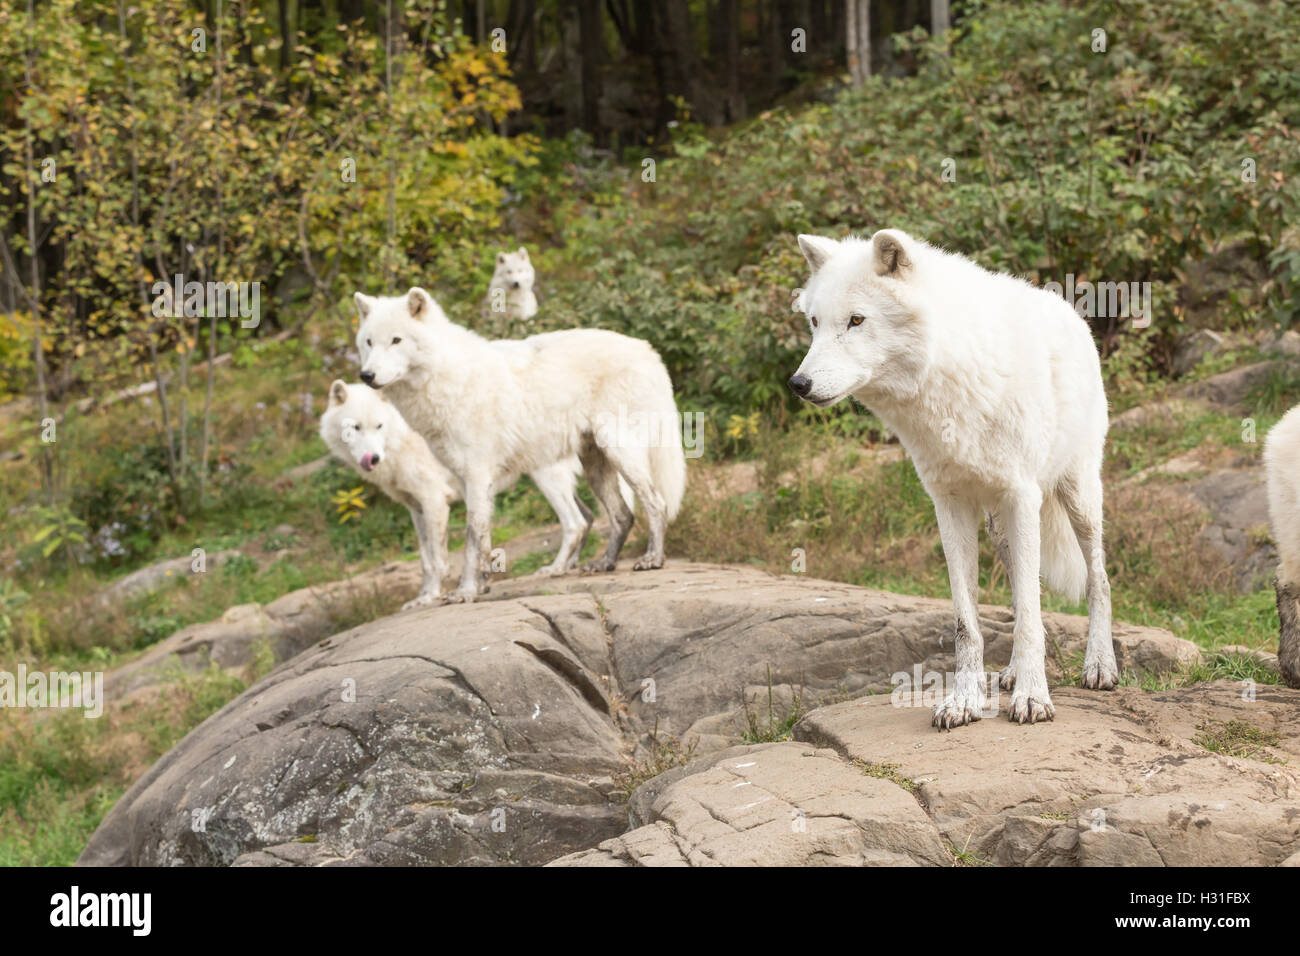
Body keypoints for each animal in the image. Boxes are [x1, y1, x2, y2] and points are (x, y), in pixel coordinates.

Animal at [320, 380, 597, 608]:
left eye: (379, 426)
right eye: (355, 428)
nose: (373, 458)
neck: (399, 438)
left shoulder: (434, 502)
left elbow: (436, 561)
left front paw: (431, 596)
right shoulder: (415, 507)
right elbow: (432, 557)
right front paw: (454, 590)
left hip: (546, 479)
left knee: (575, 523)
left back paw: (555, 568)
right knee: (589, 516)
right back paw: (569, 566)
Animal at [354, 287, 687, 603]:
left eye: (396, 340)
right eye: (369, 342)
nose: (366, 375)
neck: (447, 377)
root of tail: (647, 349)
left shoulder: (475, 478)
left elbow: (472, 540)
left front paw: (465, 591)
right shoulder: (468, 482)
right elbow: (485, 541)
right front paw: (482, 587)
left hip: (618, 455)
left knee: (656, 503)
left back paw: (652, 559)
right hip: (596, 467)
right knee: (622, 516)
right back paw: (605, 563)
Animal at [788, 228, 1117, 727]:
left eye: (856, 320)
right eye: (814, 322)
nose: (798, 384)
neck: (947, 380)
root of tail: (1070, 312)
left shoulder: (1022, 496)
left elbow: (1031, 616)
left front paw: (1033, 698)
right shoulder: (948, 504)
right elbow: (969, 623)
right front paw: (965, 701)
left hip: (1075, 496)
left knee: (1098, 580)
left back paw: (1099, 665)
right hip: (1001, 527)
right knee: (1023, 593)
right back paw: (1011, 674)